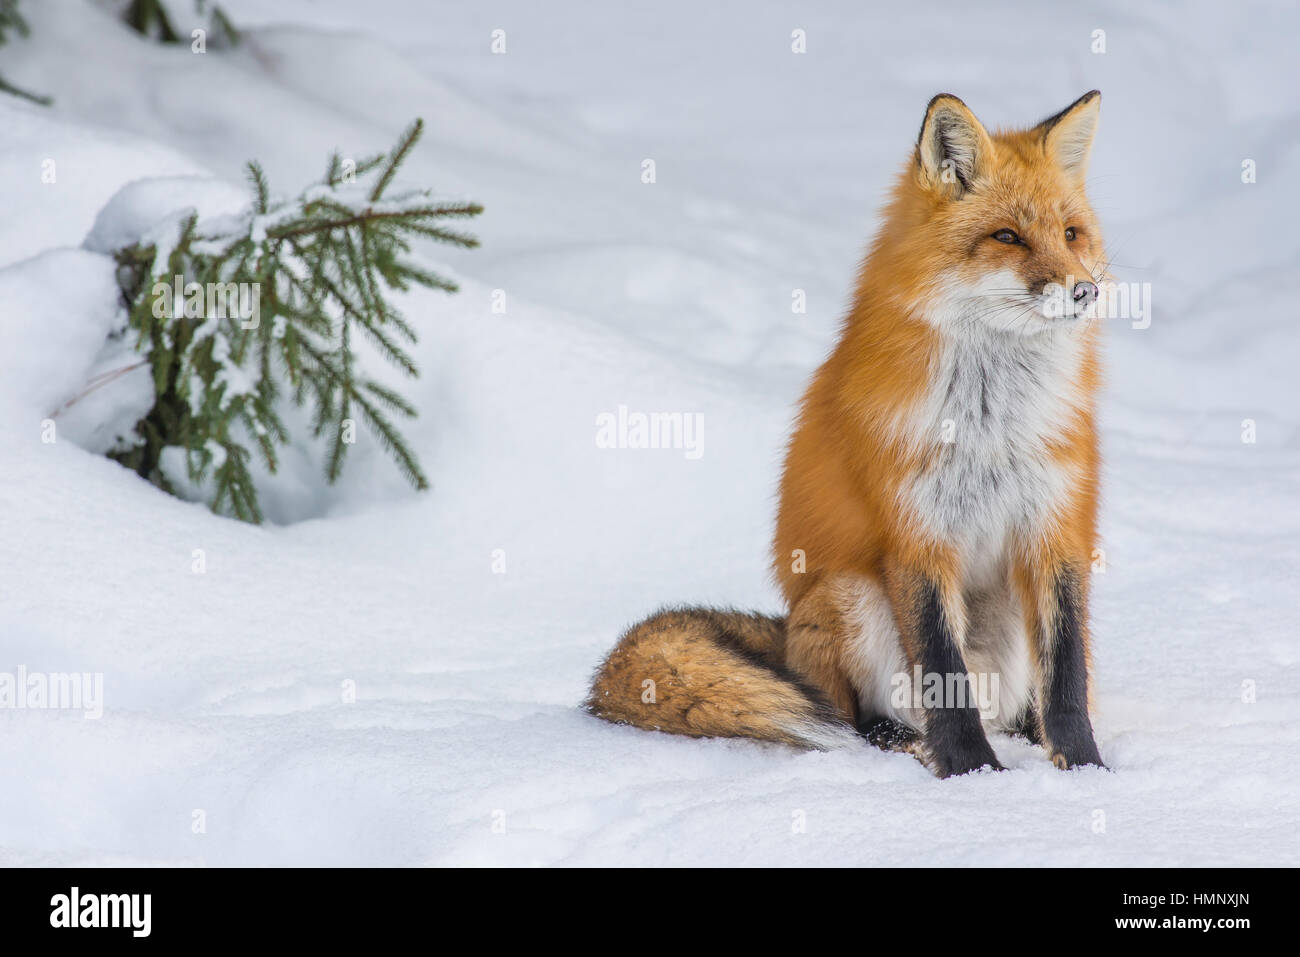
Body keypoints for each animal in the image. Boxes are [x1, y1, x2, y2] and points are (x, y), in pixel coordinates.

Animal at [586, 91, 1110, 777]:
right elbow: (944, 674)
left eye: (1071, 234)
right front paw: (973, 774)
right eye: (1007, 237)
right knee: (859, 716)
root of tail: (787, 630)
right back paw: (903, 742)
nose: (1084, 290)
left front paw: (1085, 771)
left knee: (1018, 705)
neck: (991, 423)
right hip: (851, 595)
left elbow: (1067, 676)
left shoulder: (1057, 529)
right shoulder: (916, 537)